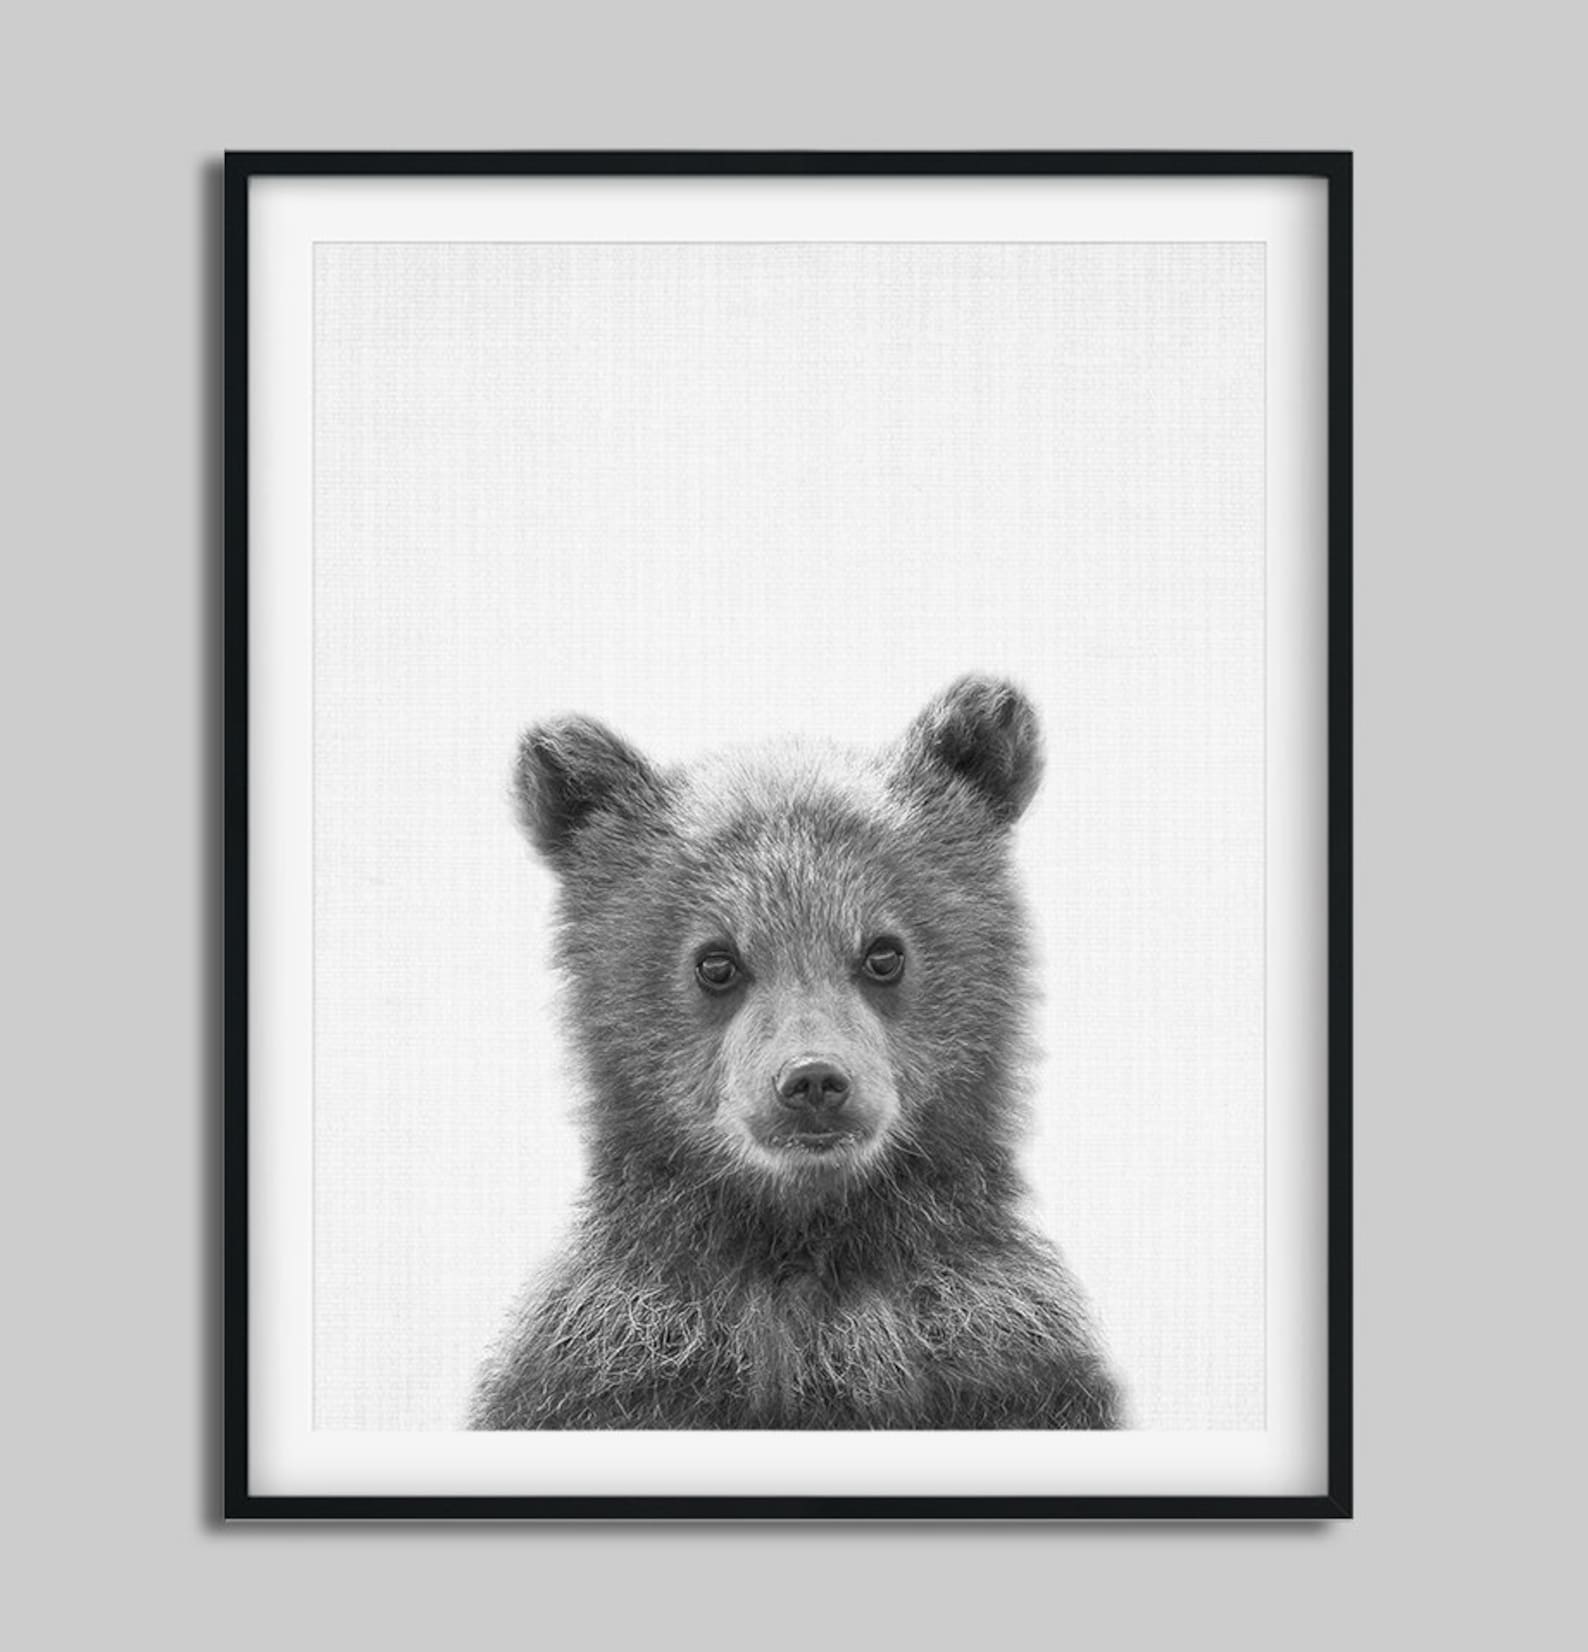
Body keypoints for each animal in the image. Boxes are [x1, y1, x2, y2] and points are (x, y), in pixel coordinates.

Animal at [469, 674, 1121, 1430]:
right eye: (716, 961)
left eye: (884, 953)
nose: (813, 1081)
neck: (800, 1237)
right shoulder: (611, 1360)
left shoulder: (1004, 1361)